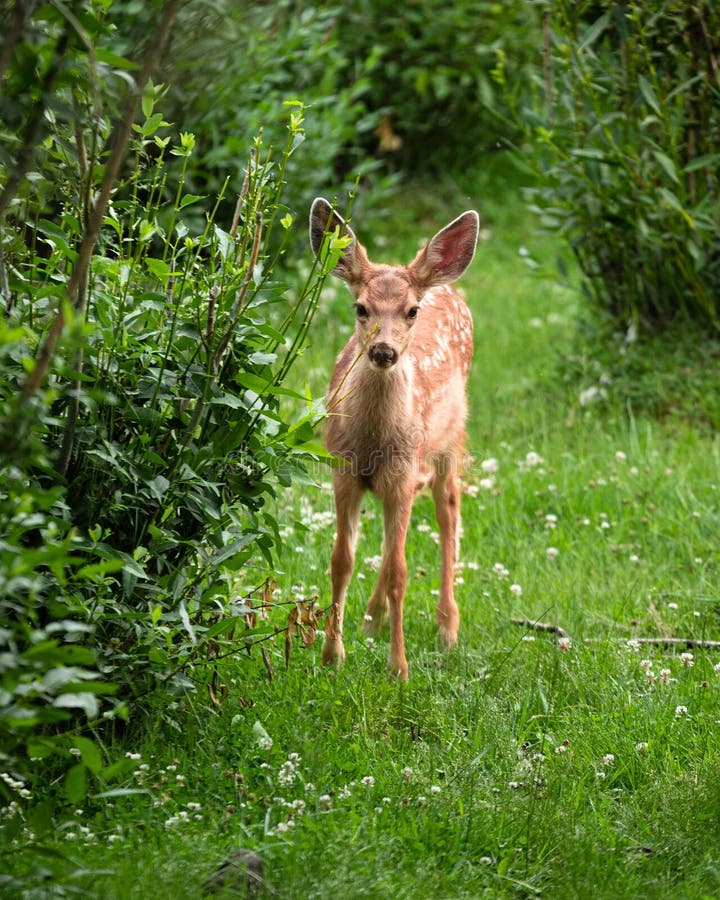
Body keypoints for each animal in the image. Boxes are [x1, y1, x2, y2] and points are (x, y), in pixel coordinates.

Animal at [309, 198, 479, 680]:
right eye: (360, 307)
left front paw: (398, 667)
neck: (372, 440)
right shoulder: (345, 472)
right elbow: (341, 561)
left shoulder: (402, 473)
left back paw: (447, 627)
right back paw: (372, 617)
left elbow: (402, 573)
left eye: (411, 312)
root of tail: (443, 286)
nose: (383, 351)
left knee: (448, 511)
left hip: (450, 440)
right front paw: (332, 656)